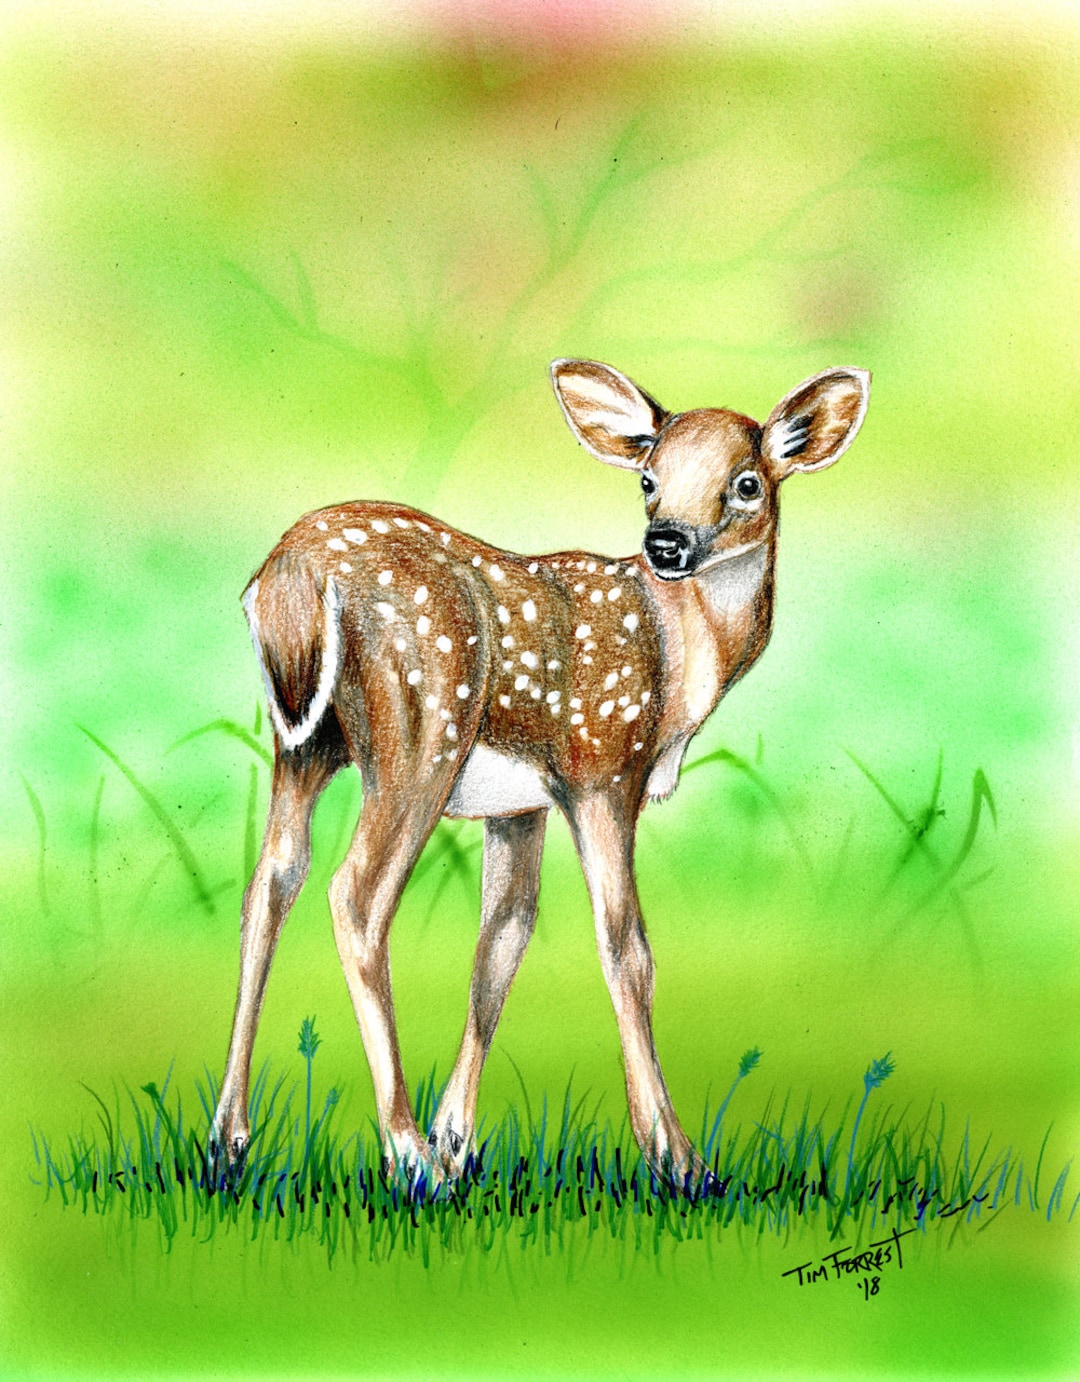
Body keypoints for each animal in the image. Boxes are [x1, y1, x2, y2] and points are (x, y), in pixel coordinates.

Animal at [209, 358, 870, 1185]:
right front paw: (675, 1157)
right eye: (648, 479)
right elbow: (625, 947)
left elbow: (501, 941)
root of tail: (286, 580)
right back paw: (404, 1150)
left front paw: (460, 1139)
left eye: (747, 482)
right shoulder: (601, 766)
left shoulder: (519, 806)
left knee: (271, 879)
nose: (666, 543)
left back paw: (230, 1139)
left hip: (302, 743)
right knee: (355, 897)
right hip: (422, 724)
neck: (681, 664)